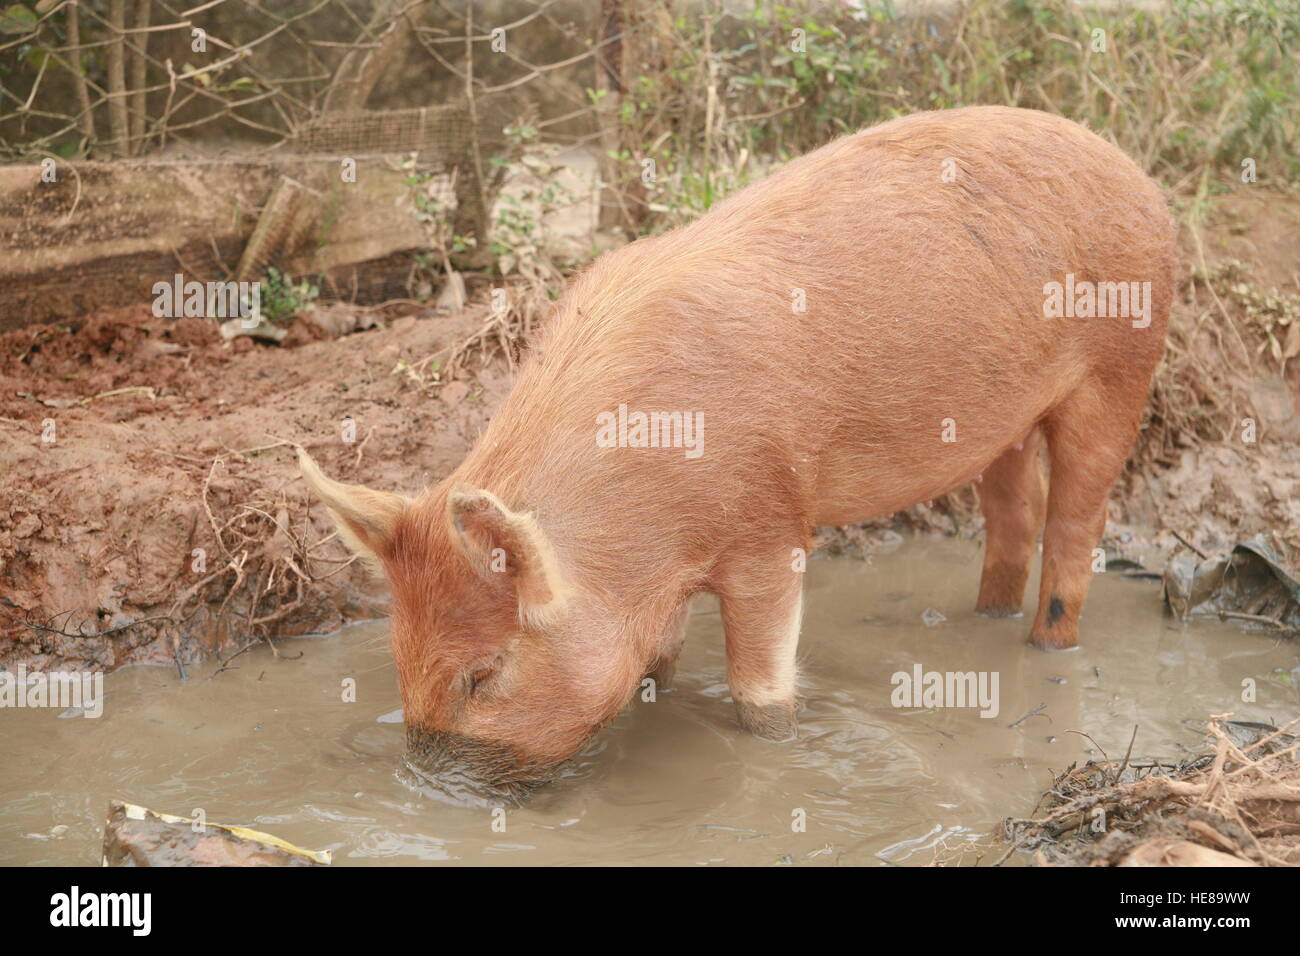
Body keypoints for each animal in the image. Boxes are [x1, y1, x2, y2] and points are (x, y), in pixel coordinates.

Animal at [300, 105, 1175, 800]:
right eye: (398, 654)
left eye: (482, 675)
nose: (430, 793)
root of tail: (1133, 171)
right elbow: (656, 663)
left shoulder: (770, 525)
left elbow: (761, 689)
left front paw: (774, 746)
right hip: (1005, 421)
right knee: (1013, 512)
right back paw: (984, 615)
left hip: (1122, 365)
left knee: (1075, 527)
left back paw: (1047, 644)